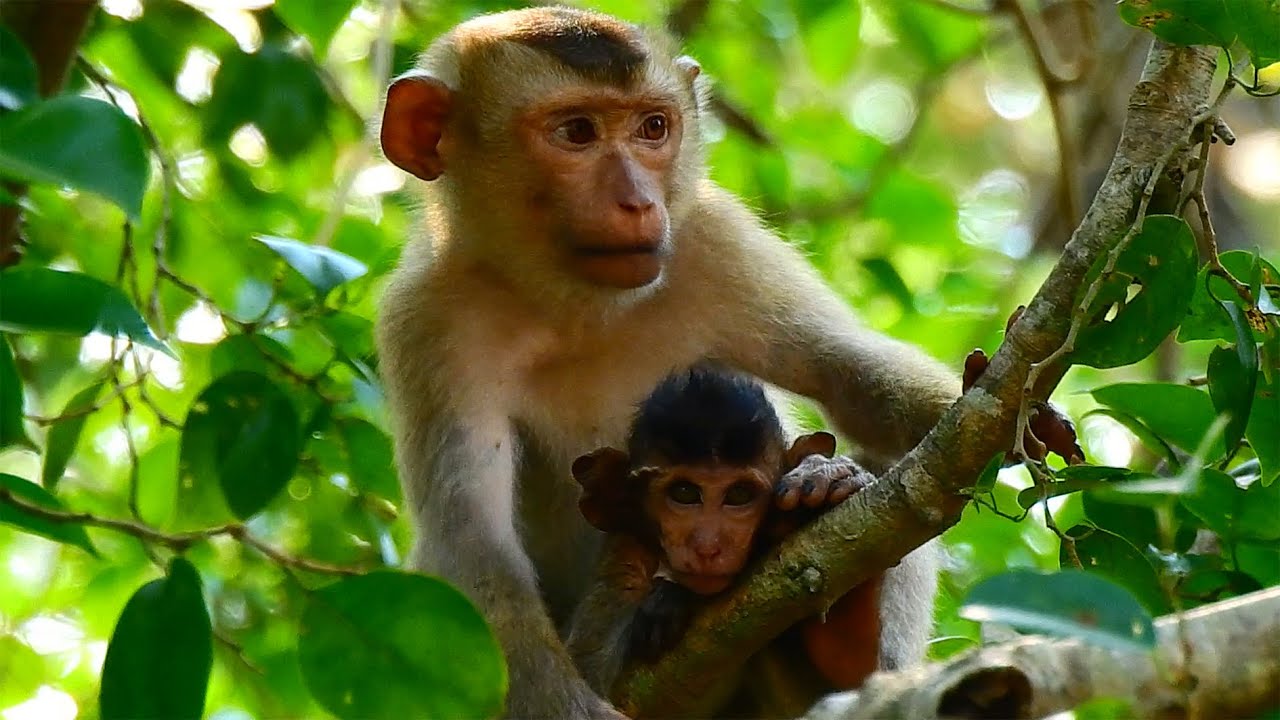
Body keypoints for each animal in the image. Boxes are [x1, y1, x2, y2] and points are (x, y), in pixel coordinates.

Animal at [570, 364, 886, 699]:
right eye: (684, 493)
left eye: (738, 495)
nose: (708, 547)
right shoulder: (625, 557)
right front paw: (670, 599)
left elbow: (850, 673)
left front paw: (832, 480)